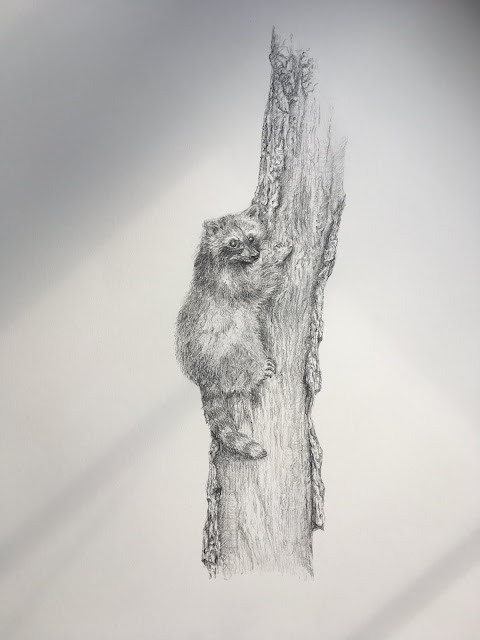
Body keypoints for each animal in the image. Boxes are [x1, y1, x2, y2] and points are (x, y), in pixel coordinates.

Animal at [175, 203, 291, 459]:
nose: (255, 255)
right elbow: (259, 284)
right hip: (233, 349)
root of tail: (204, 376)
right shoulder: (230, 282)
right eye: (233, 243)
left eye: (251, 237)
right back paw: (256, 371)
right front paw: (275, 256)